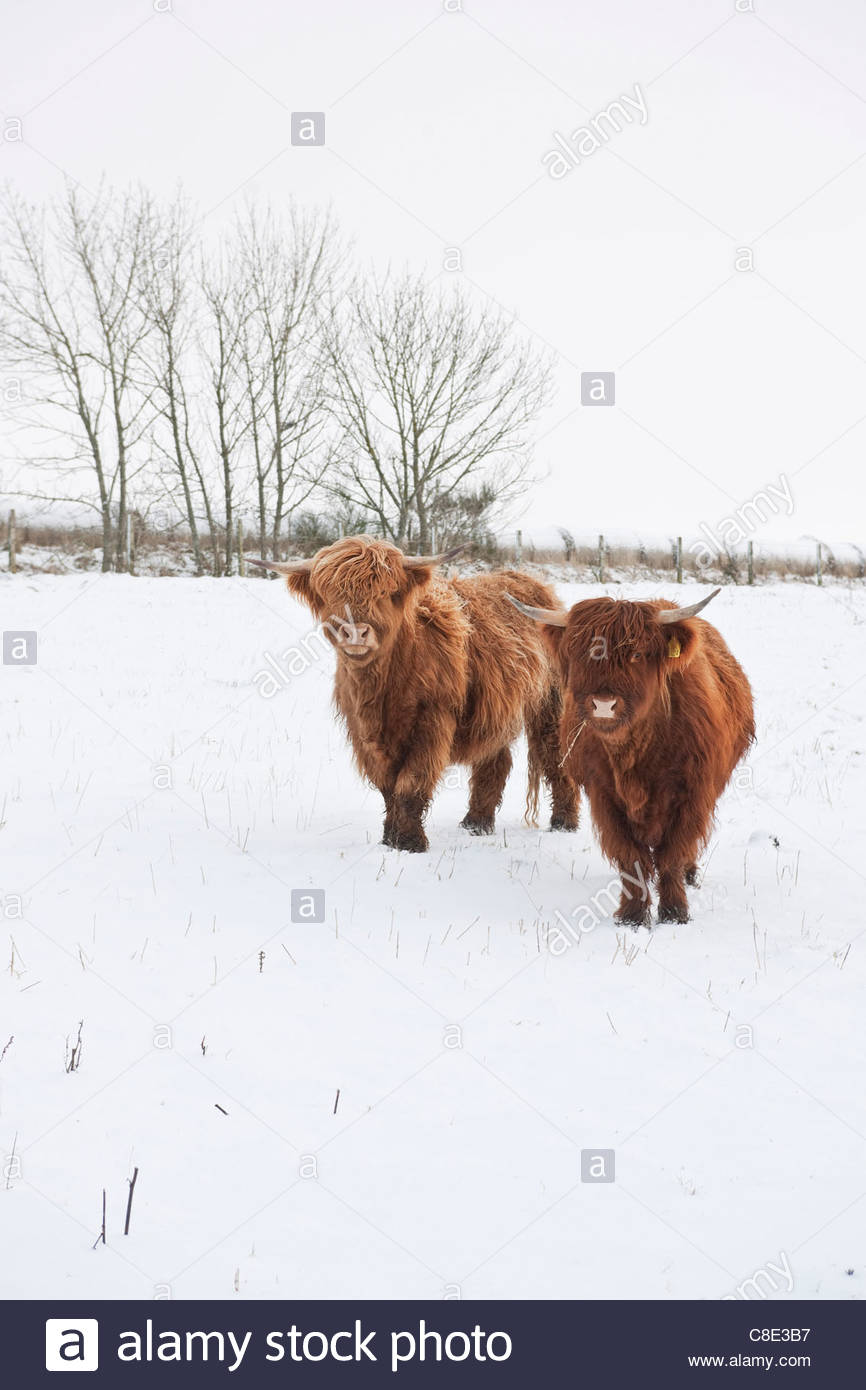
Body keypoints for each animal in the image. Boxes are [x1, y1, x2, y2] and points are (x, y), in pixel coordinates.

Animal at [249, 536, 578, 852]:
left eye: (385, 591)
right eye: (330, 593)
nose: (355, 632)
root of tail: (534, 583)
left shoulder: (432, 724)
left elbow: (411, 784)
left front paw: (409, 842)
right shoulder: (365, 735)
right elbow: (387, 787)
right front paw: (389, 838)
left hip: (550, 704)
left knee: (555, 755)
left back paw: (563, 822)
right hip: (495, 710)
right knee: (495, 761)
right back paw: (476, 823)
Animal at [506, 587, 755, 924]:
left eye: (637, 654)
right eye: (580, 654)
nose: (603, 704)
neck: (634, 753)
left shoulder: (692, 793)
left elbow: (673, 854)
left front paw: (674, 912)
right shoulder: (604, 795)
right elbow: (630, 857)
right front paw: (632, 915)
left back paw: (690, 875)